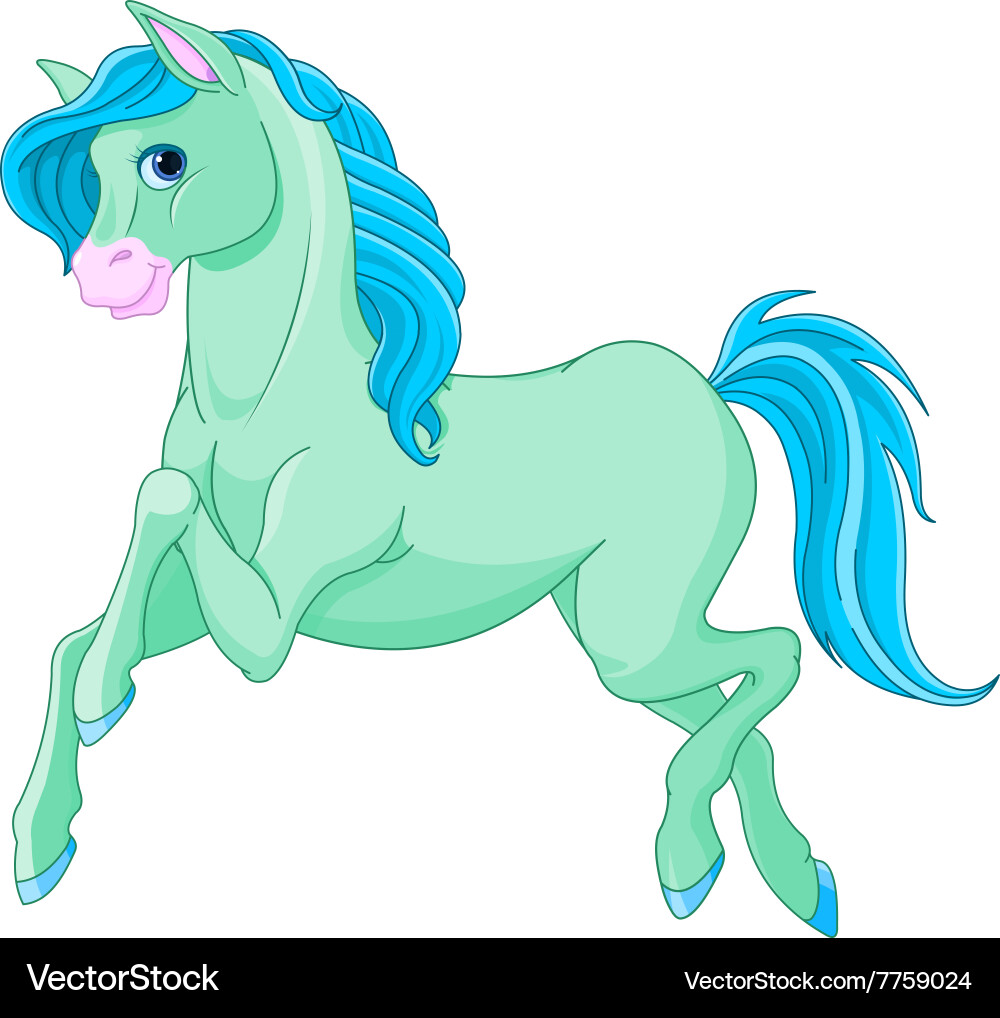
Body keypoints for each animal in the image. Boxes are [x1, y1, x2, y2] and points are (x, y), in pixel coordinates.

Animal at [3, 3, 994, 934]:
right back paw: (785, 881)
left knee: (779, 654)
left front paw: (102, 700)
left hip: (636, 633)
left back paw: (688, 862)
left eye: (166, 161)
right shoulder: (213, 599)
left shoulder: (270, 622)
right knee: (743, 720)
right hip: (620, 636)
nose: (101, 279)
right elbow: (67, 642)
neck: (262, 408)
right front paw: (43, 845)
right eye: (91, 171)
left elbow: (157, 499)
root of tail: (712, 388)